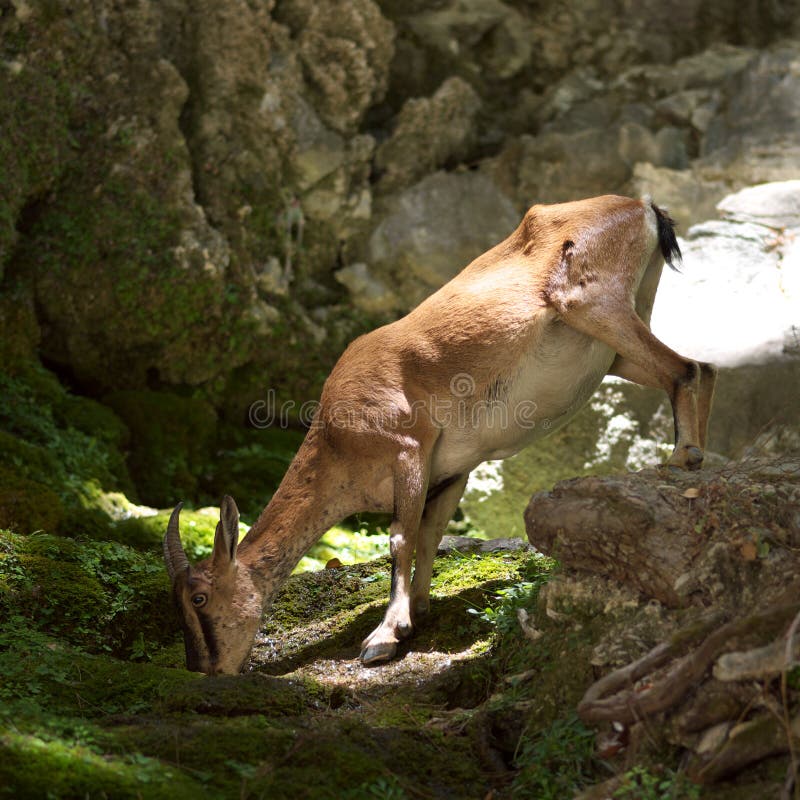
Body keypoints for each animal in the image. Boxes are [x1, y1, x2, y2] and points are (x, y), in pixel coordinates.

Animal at [163, 194, 716, 675]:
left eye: (199, 596)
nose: (204, 668)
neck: (337, 441)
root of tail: (641, 207)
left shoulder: (409, 448)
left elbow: (400, 538)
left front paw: (385, 637)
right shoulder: (453, 471)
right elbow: (431, 534)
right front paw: (421, 609)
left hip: (592, 303)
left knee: (686, 369)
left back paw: (682, 457)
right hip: (617, 344)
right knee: (701, 368)